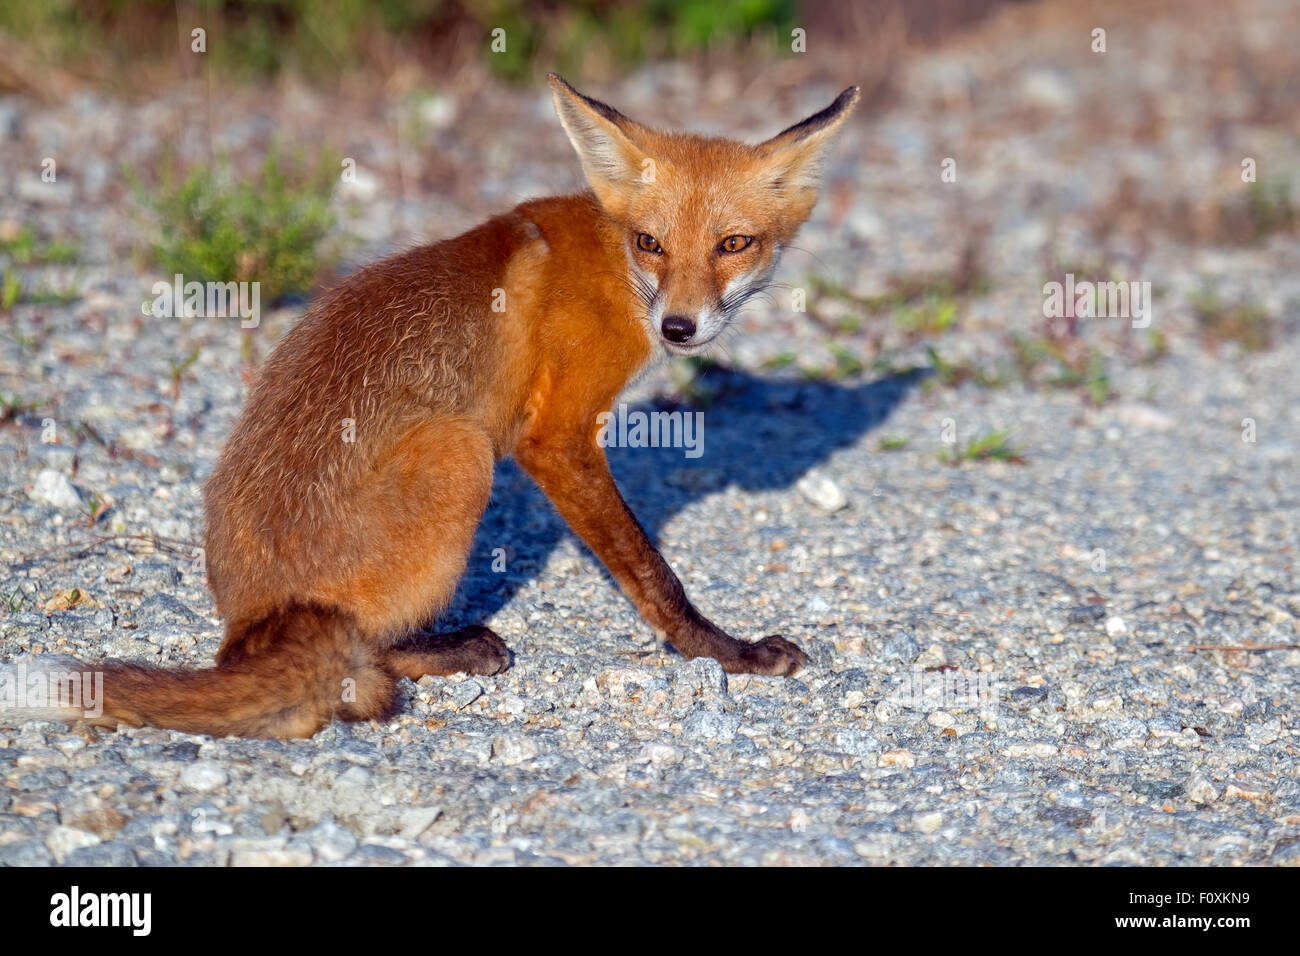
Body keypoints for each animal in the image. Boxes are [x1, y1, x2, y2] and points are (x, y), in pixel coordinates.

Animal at [9, 75, 859, 738]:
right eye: (651, 243)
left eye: (734, 244)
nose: (679, 327)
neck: (611, 266)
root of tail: (250, 623)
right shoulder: (554, 439)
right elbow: (656, 577)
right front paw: (723, 653)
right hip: (460, 453)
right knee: (364, 661)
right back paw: (449, 650)